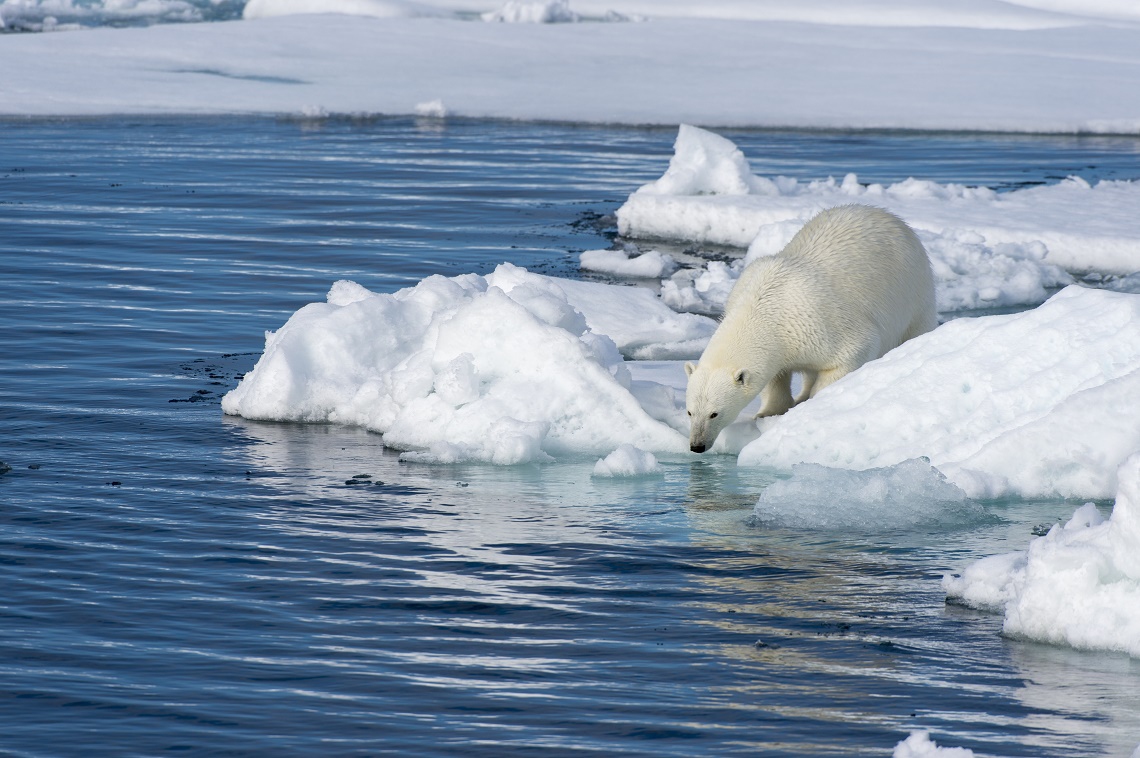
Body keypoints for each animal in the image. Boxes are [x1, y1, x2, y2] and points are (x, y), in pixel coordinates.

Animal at [685, 204, 937, 453]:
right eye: (690, 412)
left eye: (714, 413)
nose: (697, 445)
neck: (764, 307)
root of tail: (889, 215)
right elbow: (775, 376)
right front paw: (767, 413)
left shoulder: (820, 321)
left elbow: (852, 353)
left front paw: (814, 406)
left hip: (913, 289)